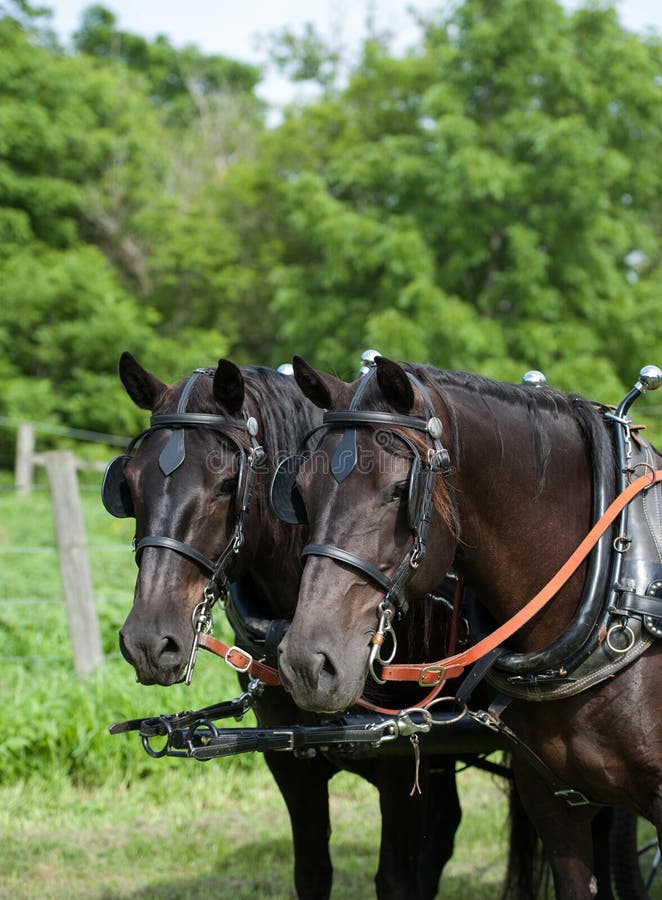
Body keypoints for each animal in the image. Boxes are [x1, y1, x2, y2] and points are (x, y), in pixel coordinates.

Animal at [103, 351, 468, 900]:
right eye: (127, 486)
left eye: (225, 486)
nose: (149, 640)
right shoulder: (289, 757)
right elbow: (312, 872)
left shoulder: (405, 748)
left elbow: (396, 877)